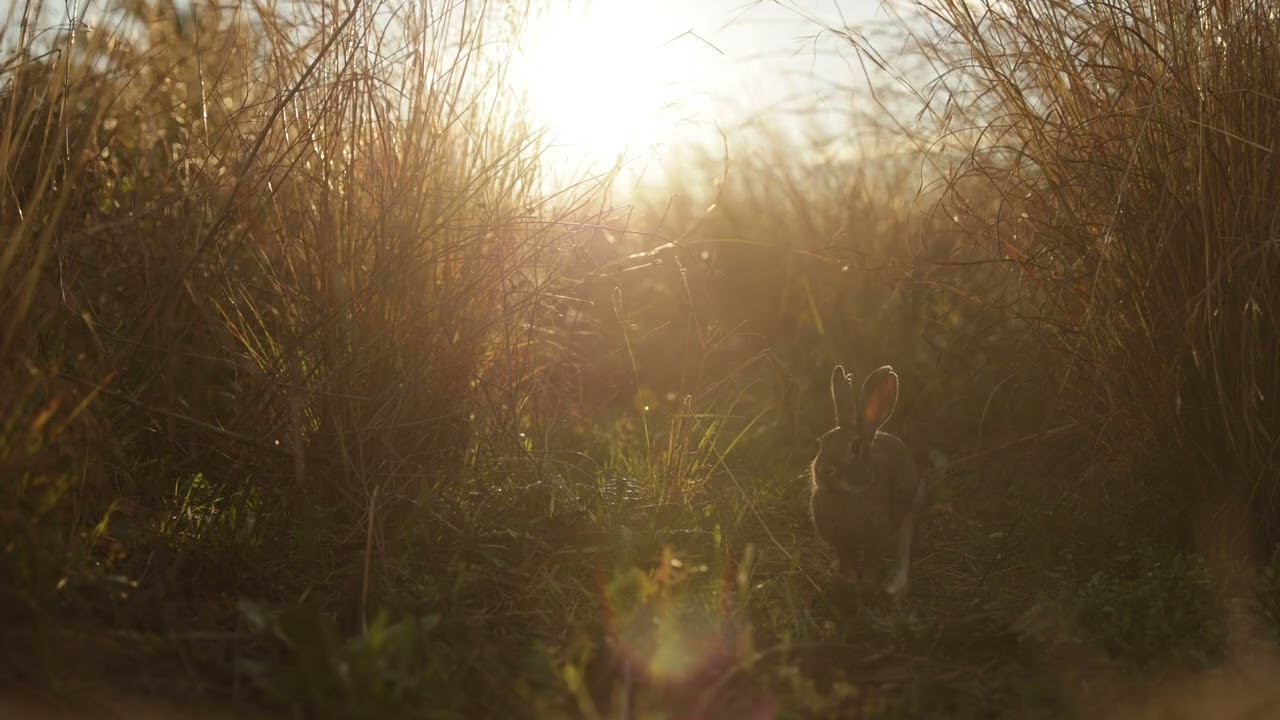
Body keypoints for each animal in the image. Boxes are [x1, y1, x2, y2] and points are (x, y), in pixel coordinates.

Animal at [810, 364, 925, 596]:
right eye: (821, 442)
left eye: (855, 448)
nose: (825, 471)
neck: (849, 493)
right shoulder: (842, 544)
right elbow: (847, 560)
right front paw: (849, 581)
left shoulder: (876, 539)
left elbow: (872, 560)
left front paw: (868, 583)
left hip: (910, 512)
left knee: (903, 551)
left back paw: (895, 587)